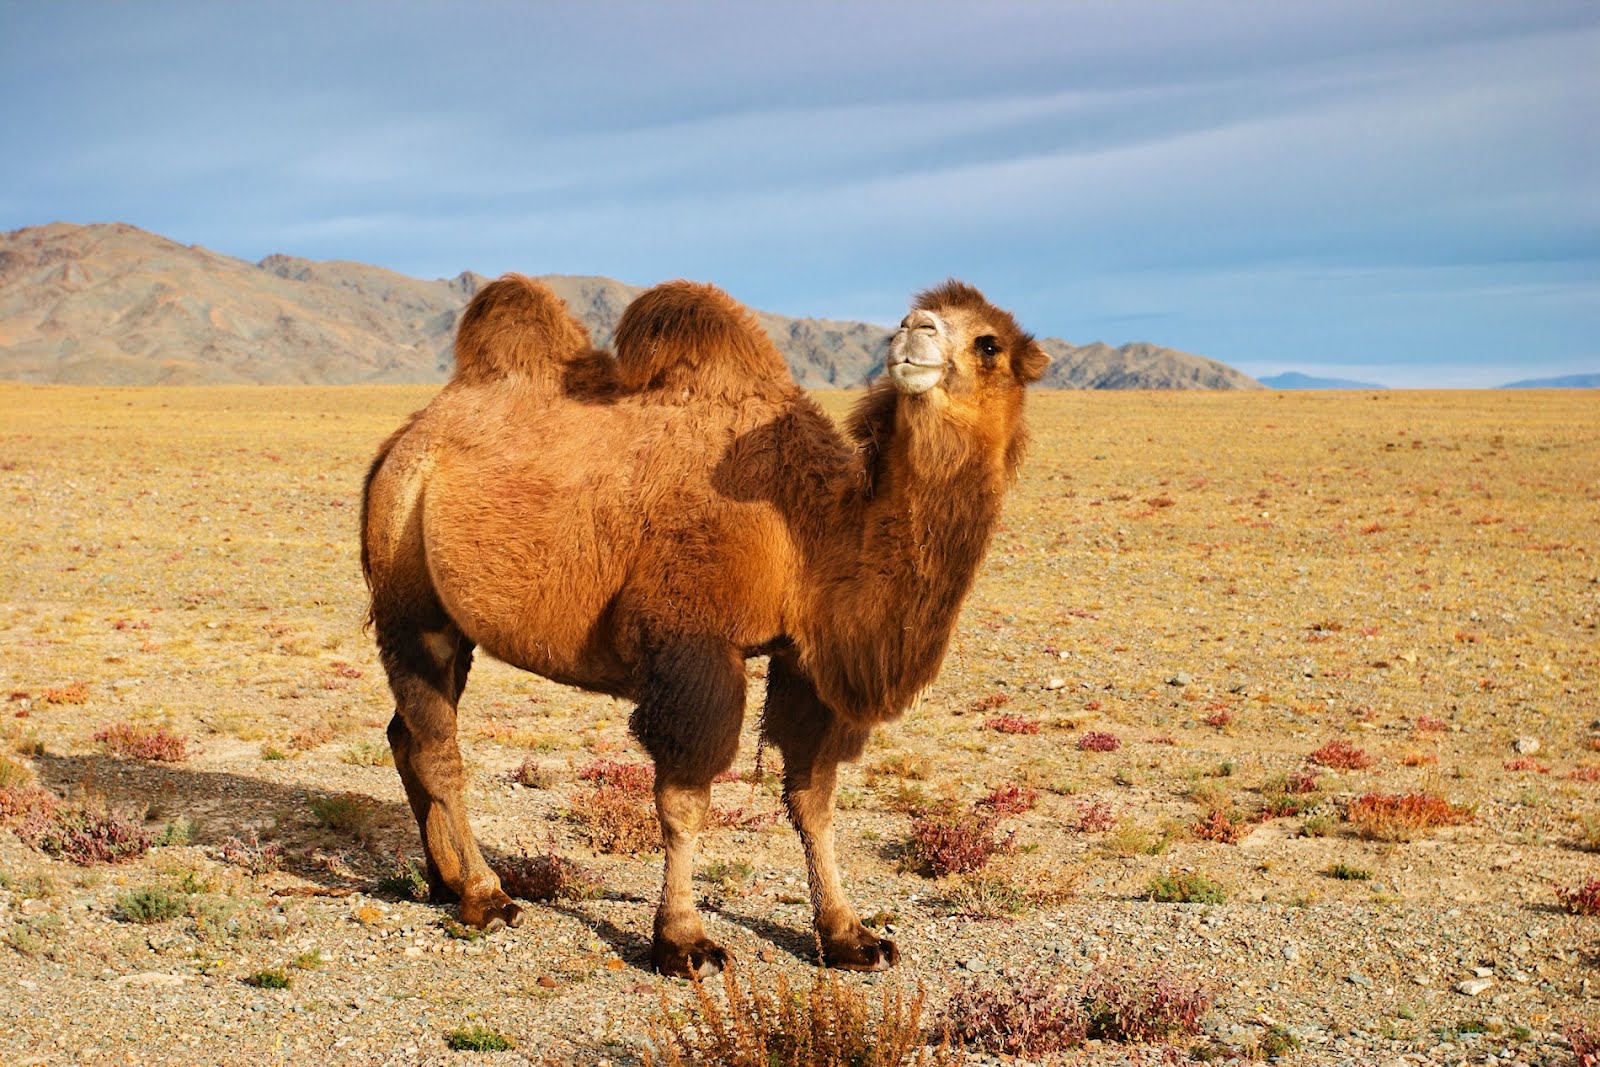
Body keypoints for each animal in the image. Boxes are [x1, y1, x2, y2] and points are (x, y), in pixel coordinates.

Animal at [360, 274, 1048, 977]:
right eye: (917, 318)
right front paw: (684, 941)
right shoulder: (693, 642)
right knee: (438, 746)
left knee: (405, 733)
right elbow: (685, 800)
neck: (810, 529)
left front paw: (850, 936)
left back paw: (443, 881)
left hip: (452, 618)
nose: (916, 328)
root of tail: (407, 439)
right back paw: (485, 896)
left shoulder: (804, 660)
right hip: (409, 593)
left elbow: (814, 796)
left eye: (989, 343)